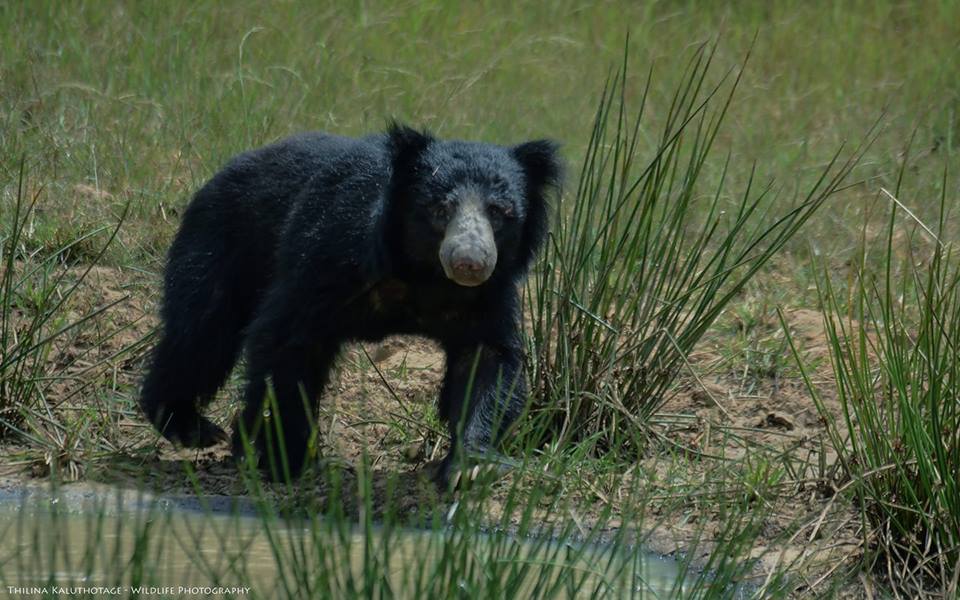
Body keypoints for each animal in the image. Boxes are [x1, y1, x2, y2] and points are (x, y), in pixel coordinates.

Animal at [139, 123, 562, 486]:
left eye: (500, 212)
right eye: (441, 209)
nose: (470, 261)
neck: (425, 275)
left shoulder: (488, 297)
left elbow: (486, 363)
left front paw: (468, 468)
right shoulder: (331, 255)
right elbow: (287, 342)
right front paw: (288, 457)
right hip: (222, 240)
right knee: (202, 332)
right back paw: (189, 425)